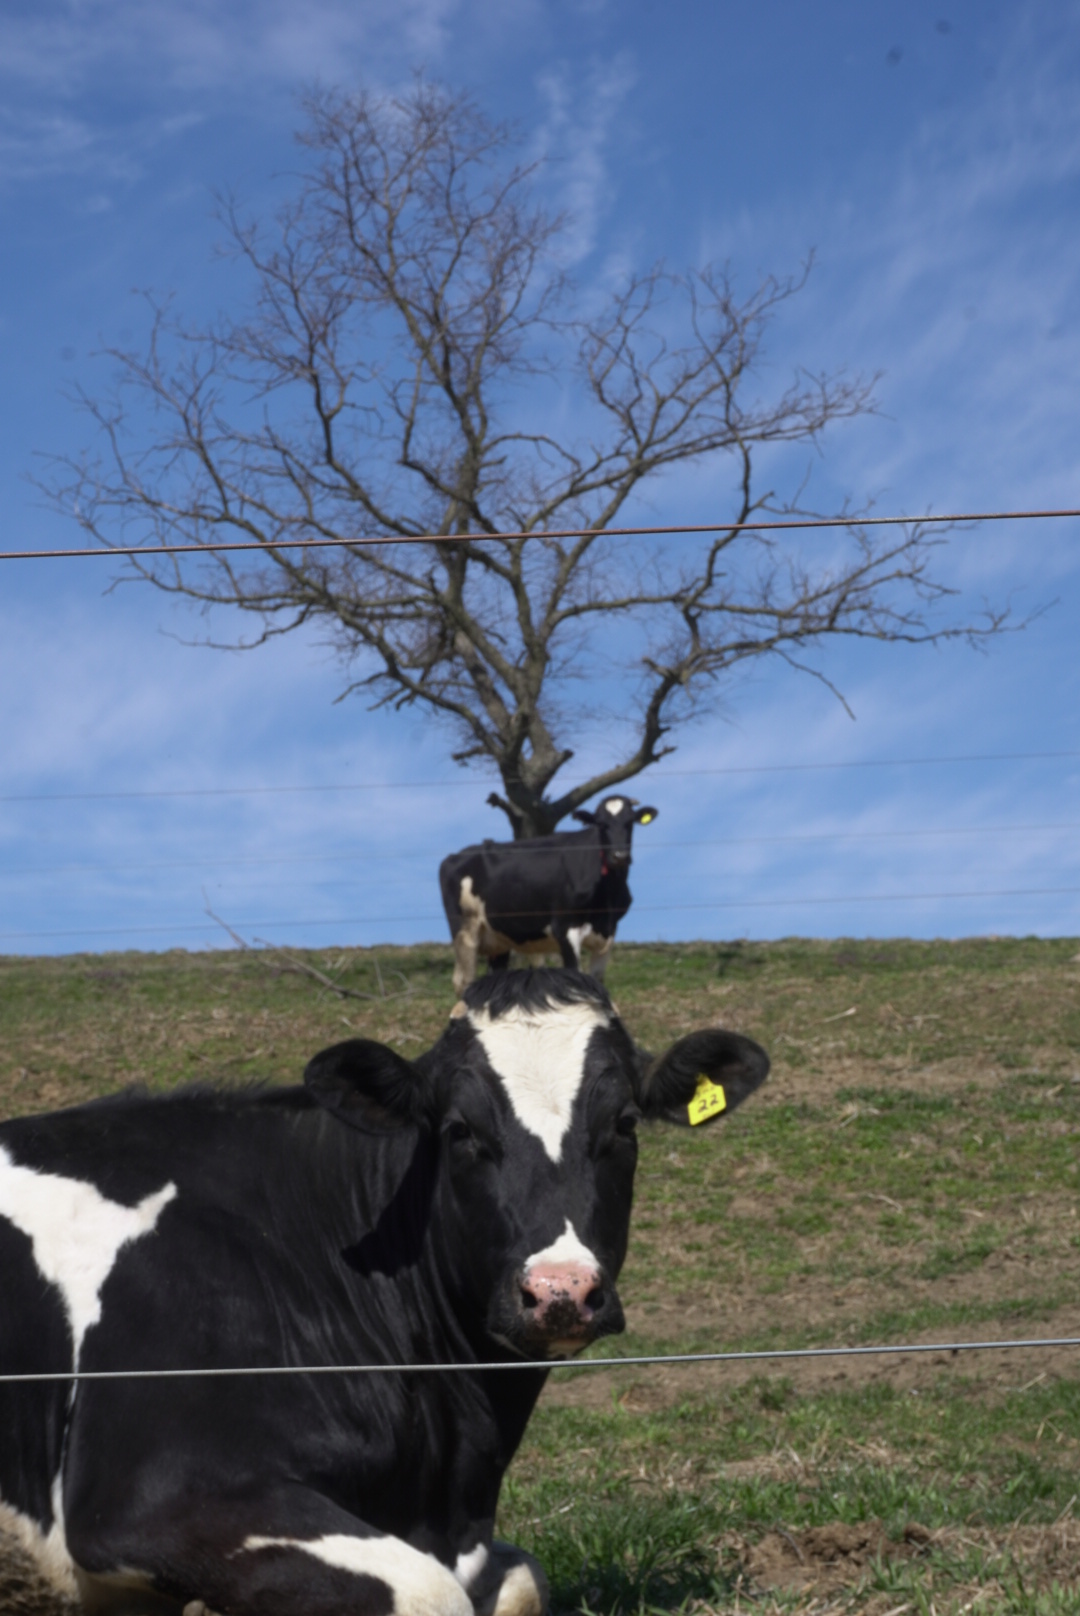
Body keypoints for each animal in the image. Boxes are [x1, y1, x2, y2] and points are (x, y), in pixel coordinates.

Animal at [0, 969, 767, 1616]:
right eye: (459, 1130)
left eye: (625, 1124)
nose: (561, 1290)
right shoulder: (149, 1494)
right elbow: (432, 1597)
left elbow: (526, 1579)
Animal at [439, 797, 658, 995]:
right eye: (601, 824)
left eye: (630, 822)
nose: (619, 856)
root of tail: (454, 856)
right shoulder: (565, 928)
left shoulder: (608, 934)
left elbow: (598, 983)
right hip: (465, 930)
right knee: (463, 981)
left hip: (497, 939)